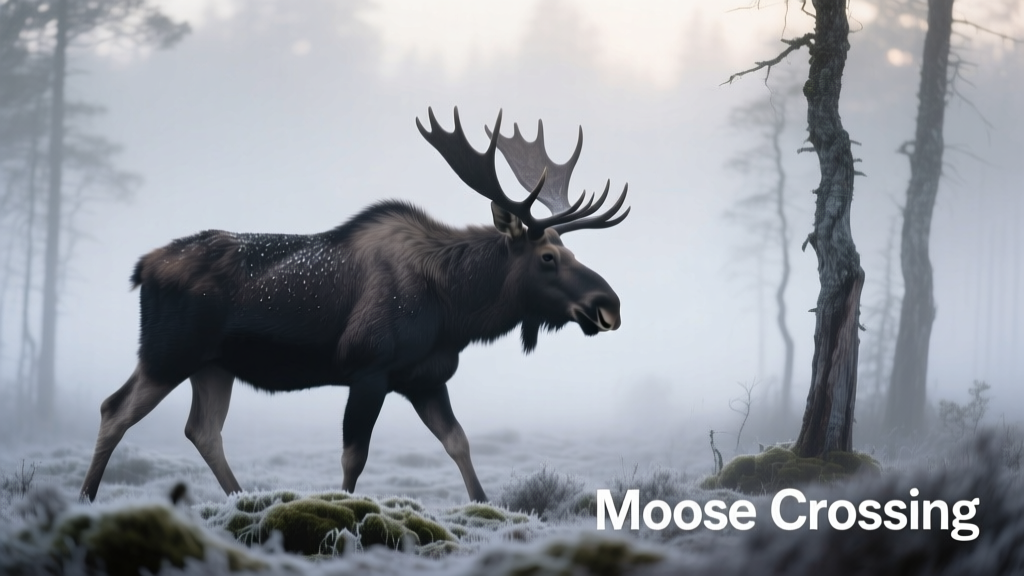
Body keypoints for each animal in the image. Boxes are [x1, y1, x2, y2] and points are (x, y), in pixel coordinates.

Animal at [80, 107, 629, 503]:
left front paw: (484, 503)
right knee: (115, 410)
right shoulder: (368, 369)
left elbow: (459, 441)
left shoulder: (424, 377)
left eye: (570, 252)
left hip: (213, 364)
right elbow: (354, 457)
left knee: (202, 430)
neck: (454, 309)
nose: (610, 304)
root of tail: (143, 267)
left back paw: (241, 500)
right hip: (169, 352)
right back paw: (87, 498)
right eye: (548, 257)